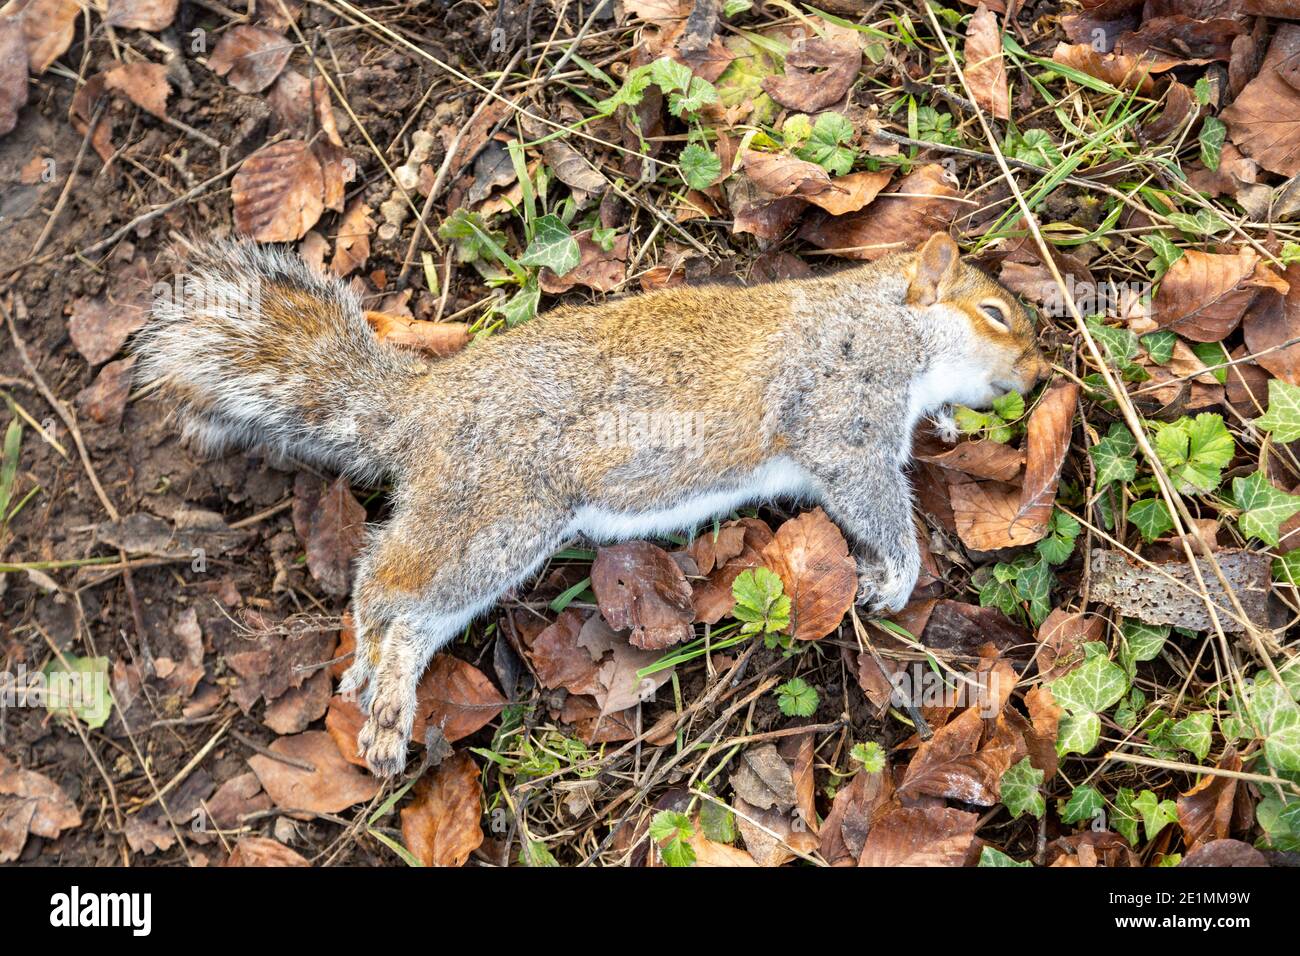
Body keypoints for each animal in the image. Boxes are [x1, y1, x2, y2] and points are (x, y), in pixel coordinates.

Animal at [133, 232, 1050, 776]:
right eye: (994, 312)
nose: (1040, 375)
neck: (886, 320)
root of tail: (421, 406)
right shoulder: (842, 415)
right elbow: (872, 495)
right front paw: (898, 571)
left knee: (415, 616)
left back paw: (385, 685)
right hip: (495, 514)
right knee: (385, 585)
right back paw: (377, 685)